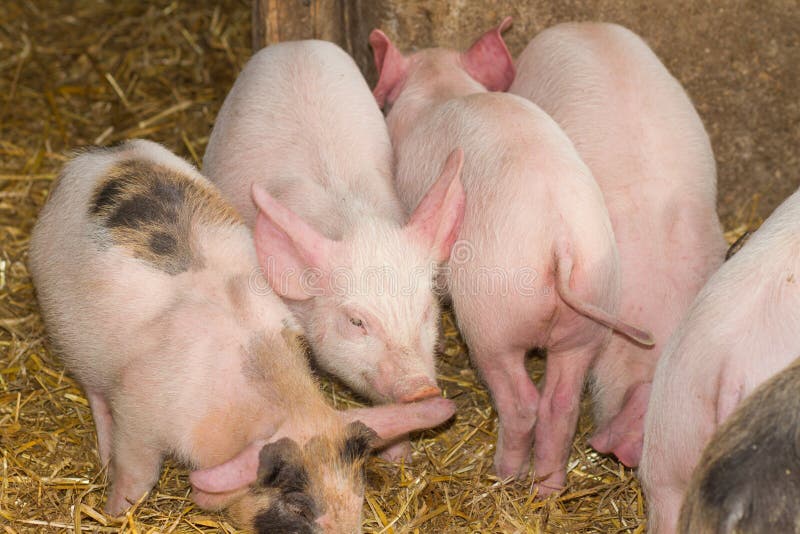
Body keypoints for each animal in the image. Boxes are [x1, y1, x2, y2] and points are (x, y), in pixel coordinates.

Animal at [27, 139, 456, 531]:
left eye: (359, 494)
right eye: (298, 506)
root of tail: (105, 152)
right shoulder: (137, 412)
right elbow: (138, 475)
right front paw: (115, 512)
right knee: (95, 395)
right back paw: (103, 456)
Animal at [370, 18, 653, 495]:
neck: (442, 86)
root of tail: (559, 242)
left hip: (492, 320)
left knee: (523, 403)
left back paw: (502, 476)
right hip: (589, 319)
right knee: (562, 403)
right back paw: (546, 490)